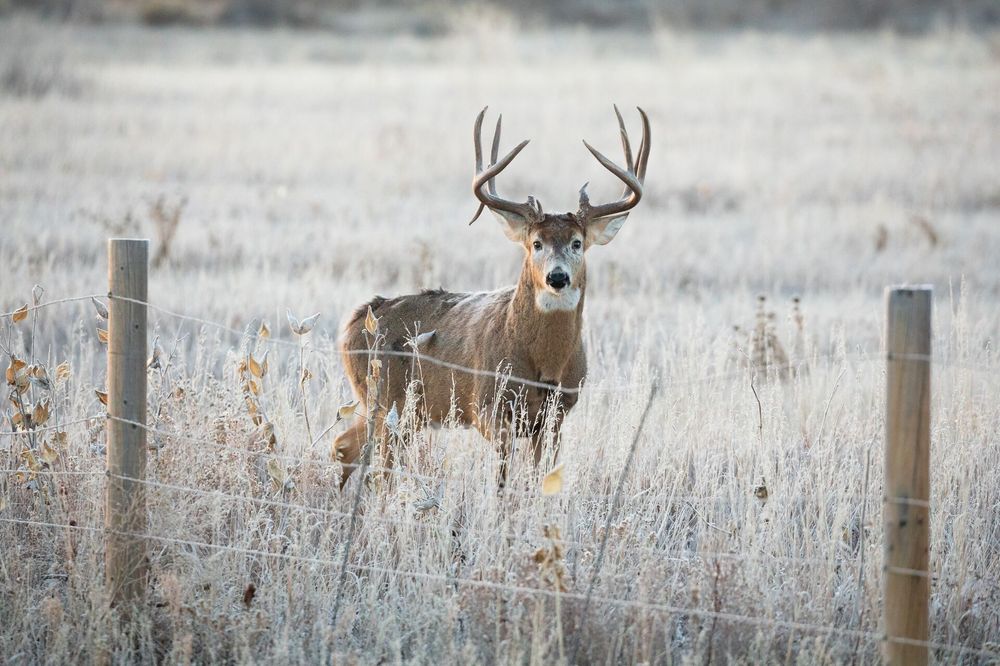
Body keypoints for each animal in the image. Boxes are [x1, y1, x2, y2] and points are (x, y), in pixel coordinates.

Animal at [333, 106, 650, 488]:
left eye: (577, 242)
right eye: (536, 243)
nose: (557, 277)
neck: (543, 365)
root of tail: (354, 321)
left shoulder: (556, 416)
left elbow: (543, 478)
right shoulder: (487, 407)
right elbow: (501, 479)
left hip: (397, 411)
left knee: (344, 446)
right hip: (383, 402)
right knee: (375, 465)